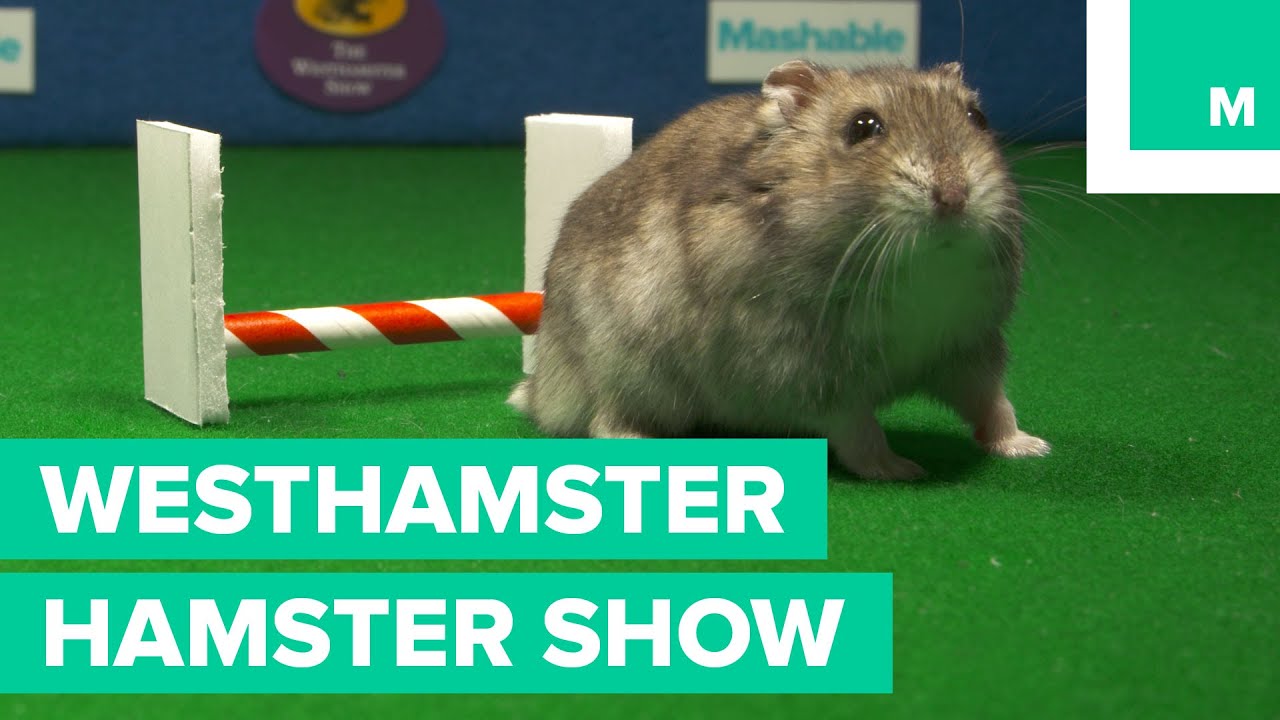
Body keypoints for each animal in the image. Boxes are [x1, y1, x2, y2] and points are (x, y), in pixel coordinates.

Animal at [509, 59, 1050, 480]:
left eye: (977, 117)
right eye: (862, 127)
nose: (955, 196)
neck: (920, 274)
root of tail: (545, 388)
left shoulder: (966, 345)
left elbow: (993, 402)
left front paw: (1032, 447)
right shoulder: (800, 371)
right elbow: (859, 428)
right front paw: (902, 470)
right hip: (629, 371)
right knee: (606, 423)